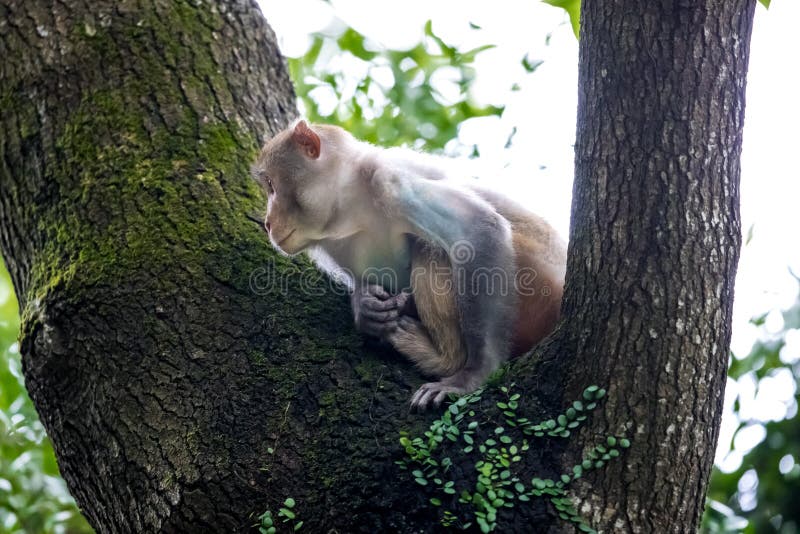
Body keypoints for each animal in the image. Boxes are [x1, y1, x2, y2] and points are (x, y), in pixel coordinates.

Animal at [251, 120, 566, 410]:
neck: (348, 212)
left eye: (272, 185)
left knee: (430, 246)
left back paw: (442, 358)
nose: (268, 222)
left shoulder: (388, 182)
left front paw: (475, 375)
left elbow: (479, 231)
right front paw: (365, 307)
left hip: (537, 288)